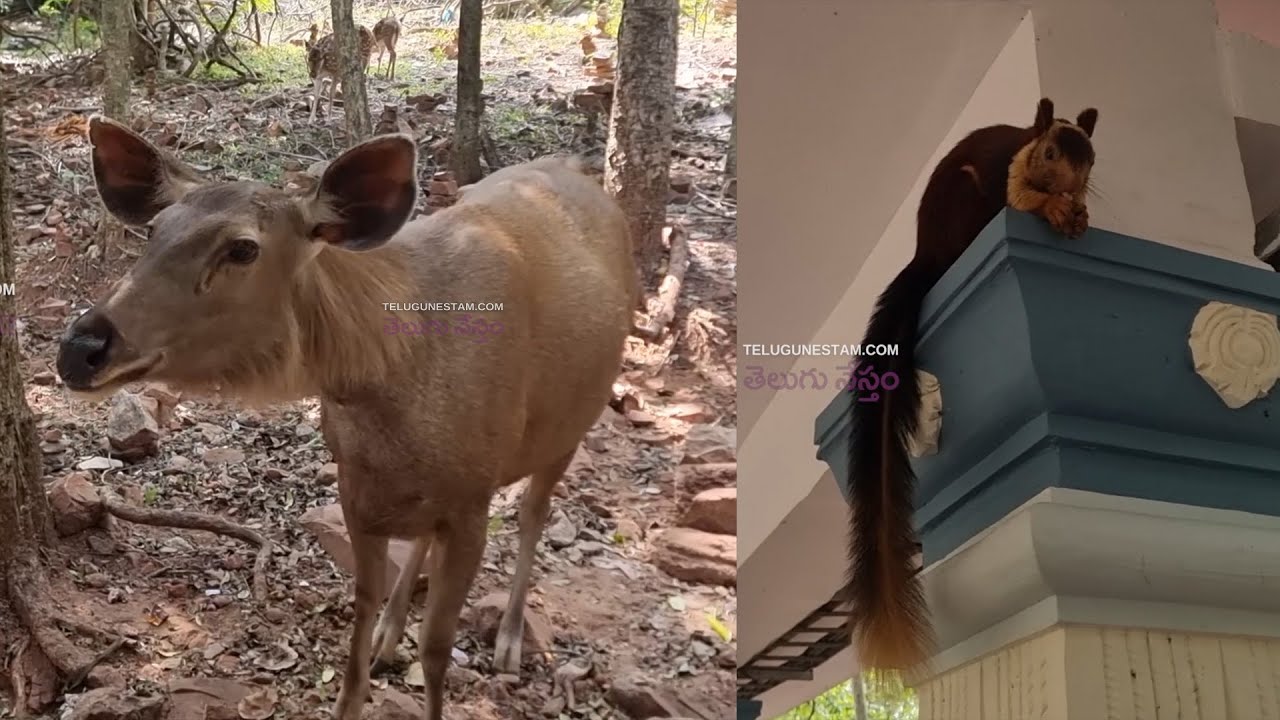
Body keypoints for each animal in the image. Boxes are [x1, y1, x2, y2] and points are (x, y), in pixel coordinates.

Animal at [58, 117, 637, 720]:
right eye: (152, 231)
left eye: (243, 248)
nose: (80, 348)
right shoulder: (357, 489)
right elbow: (359, 623)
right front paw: (371, 652)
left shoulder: (472, 500)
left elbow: (437, 649)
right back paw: (391, 635)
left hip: (569, 427)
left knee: (532, 515)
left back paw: (509, 641)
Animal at [845, 97, 1098, 672]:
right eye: (1049, 152)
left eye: (1092, 158)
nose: (1072, 187)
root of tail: (927, 255)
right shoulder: (1011, 175)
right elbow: (1025, 199)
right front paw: (1054, 209)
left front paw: (1079, 211)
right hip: (964, 205)